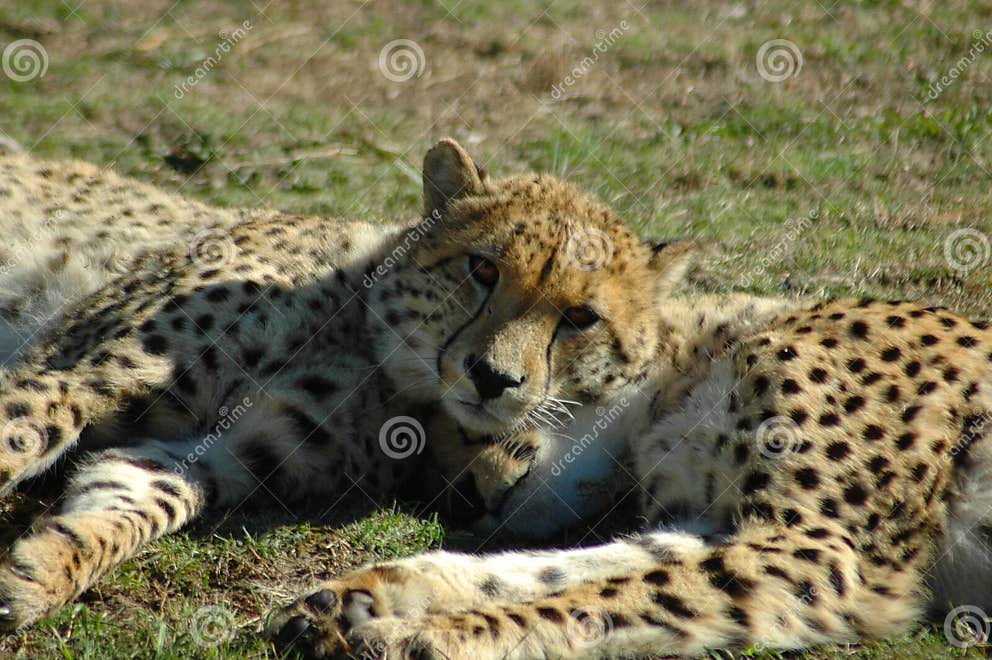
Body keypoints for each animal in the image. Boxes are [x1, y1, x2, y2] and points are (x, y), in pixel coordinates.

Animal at [0, 139, 990, 659]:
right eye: (482, 271)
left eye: (579, 318)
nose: (491, 381)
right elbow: (579, 572)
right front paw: (378, 594)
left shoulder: (815, 554)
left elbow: (588, 587)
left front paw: (409, 624)